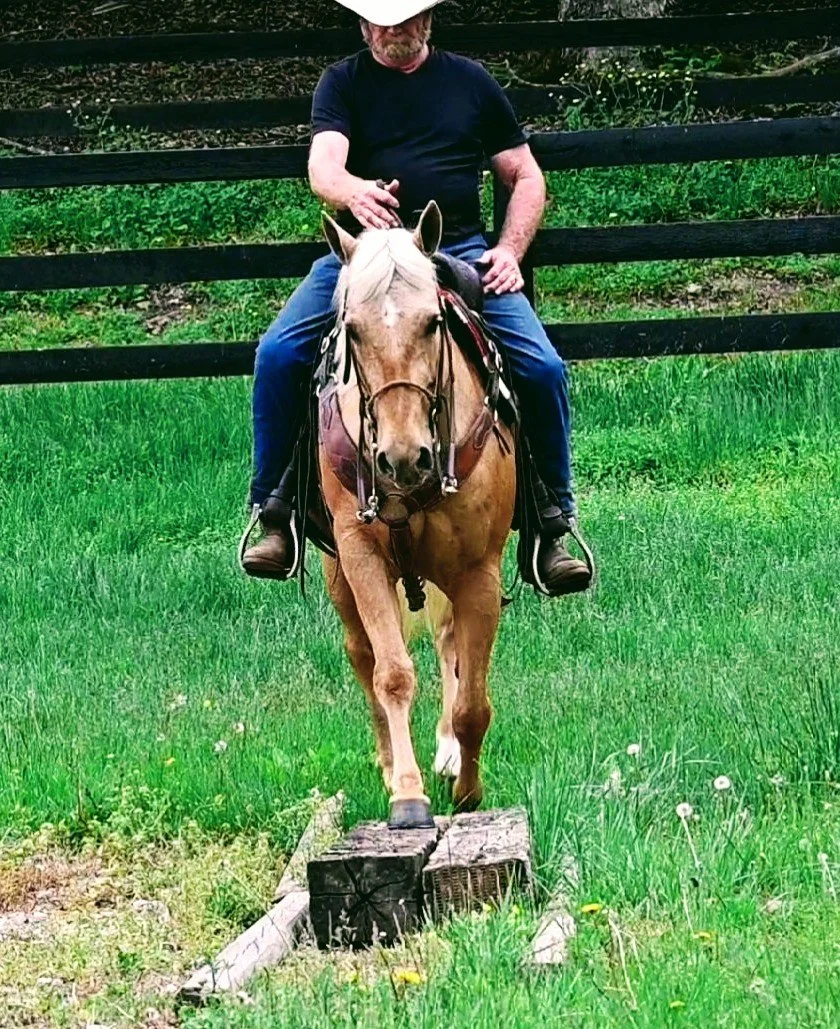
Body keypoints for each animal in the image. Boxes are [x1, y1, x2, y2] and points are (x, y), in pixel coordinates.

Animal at [318, 201, 517, 830]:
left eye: (433, 322)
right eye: (353, 331)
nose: (403, 458)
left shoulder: (479, 571)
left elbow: (474, 700)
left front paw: (468, 789)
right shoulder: (360, 557)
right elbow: (392, 672)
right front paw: (406, 796)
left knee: (451, 645)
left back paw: (450, 753)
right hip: (338, 577)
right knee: (362, 655)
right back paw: (388, 764)